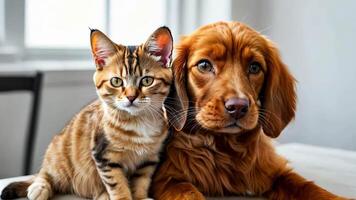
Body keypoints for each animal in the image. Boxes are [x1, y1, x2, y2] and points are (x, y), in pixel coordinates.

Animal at [0, 26, 172, 200]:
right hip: (59, 156)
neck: (138, 122)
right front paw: (123, 196)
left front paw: (141, 197)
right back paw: (39, 187)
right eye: (116, 81)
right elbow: (118, 185)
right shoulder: (104, 155)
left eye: (147, 81)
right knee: (45, 172)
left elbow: (141, 181)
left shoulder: (149, 159)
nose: (131, 97)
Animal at [151, 21, 348, 199]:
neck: (225, 146)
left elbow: (307, 186)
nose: (238, 107)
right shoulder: (169, 178)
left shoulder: (275, 171)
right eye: (204, 65)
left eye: (254, 67)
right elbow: (188, 192)